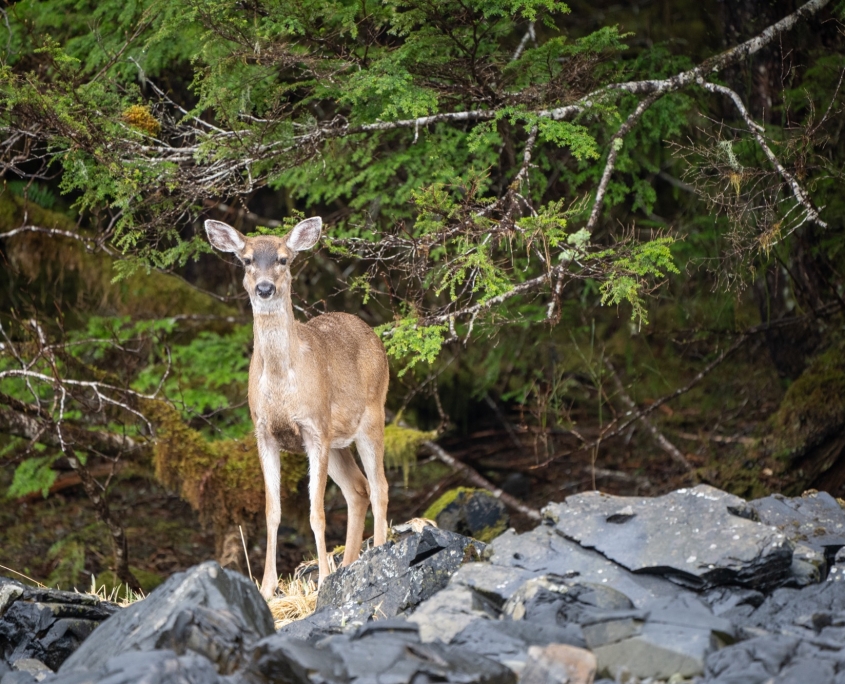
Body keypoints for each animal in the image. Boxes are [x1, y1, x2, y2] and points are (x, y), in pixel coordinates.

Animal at [204, 216, 390, 599]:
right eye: (246, 260)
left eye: (283, 259)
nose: (264, 288)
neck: (281, 383)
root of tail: (371, 331)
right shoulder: (265, 433)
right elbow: (272, 511)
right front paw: (266, 587)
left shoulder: (313, 428)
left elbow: (316, 511)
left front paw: (321, 580)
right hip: (338, 442)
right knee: (358, 489)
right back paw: (349, 564)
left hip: (372, 414)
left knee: (380, 486)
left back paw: (376, 552)